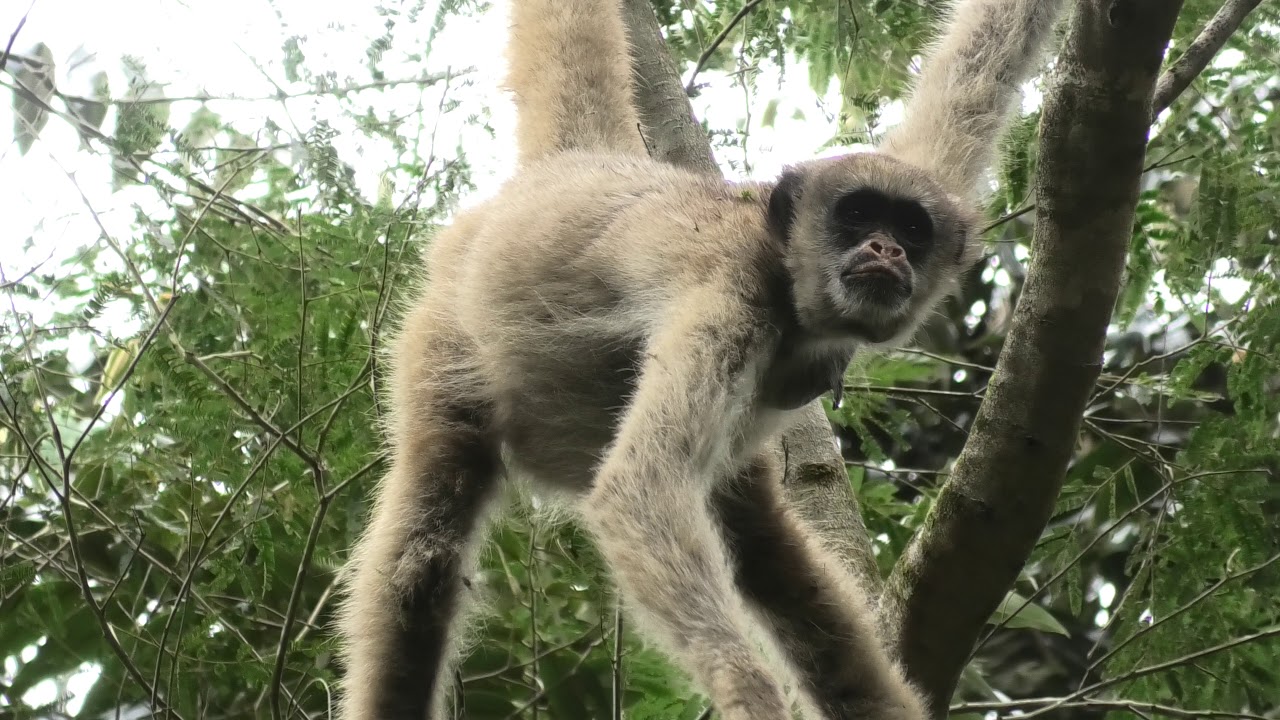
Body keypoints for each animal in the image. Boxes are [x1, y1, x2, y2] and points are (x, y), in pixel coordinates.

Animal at [335, 0, 1067, 717]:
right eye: (858, 217)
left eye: (911, 229)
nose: (885, 250)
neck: (786, 286)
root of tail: (571, 166)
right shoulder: (731, 295)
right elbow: (638, 492)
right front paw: (749, 700)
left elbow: (979, 60)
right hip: (449, 327)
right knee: (422, 561)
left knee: (772, 559)